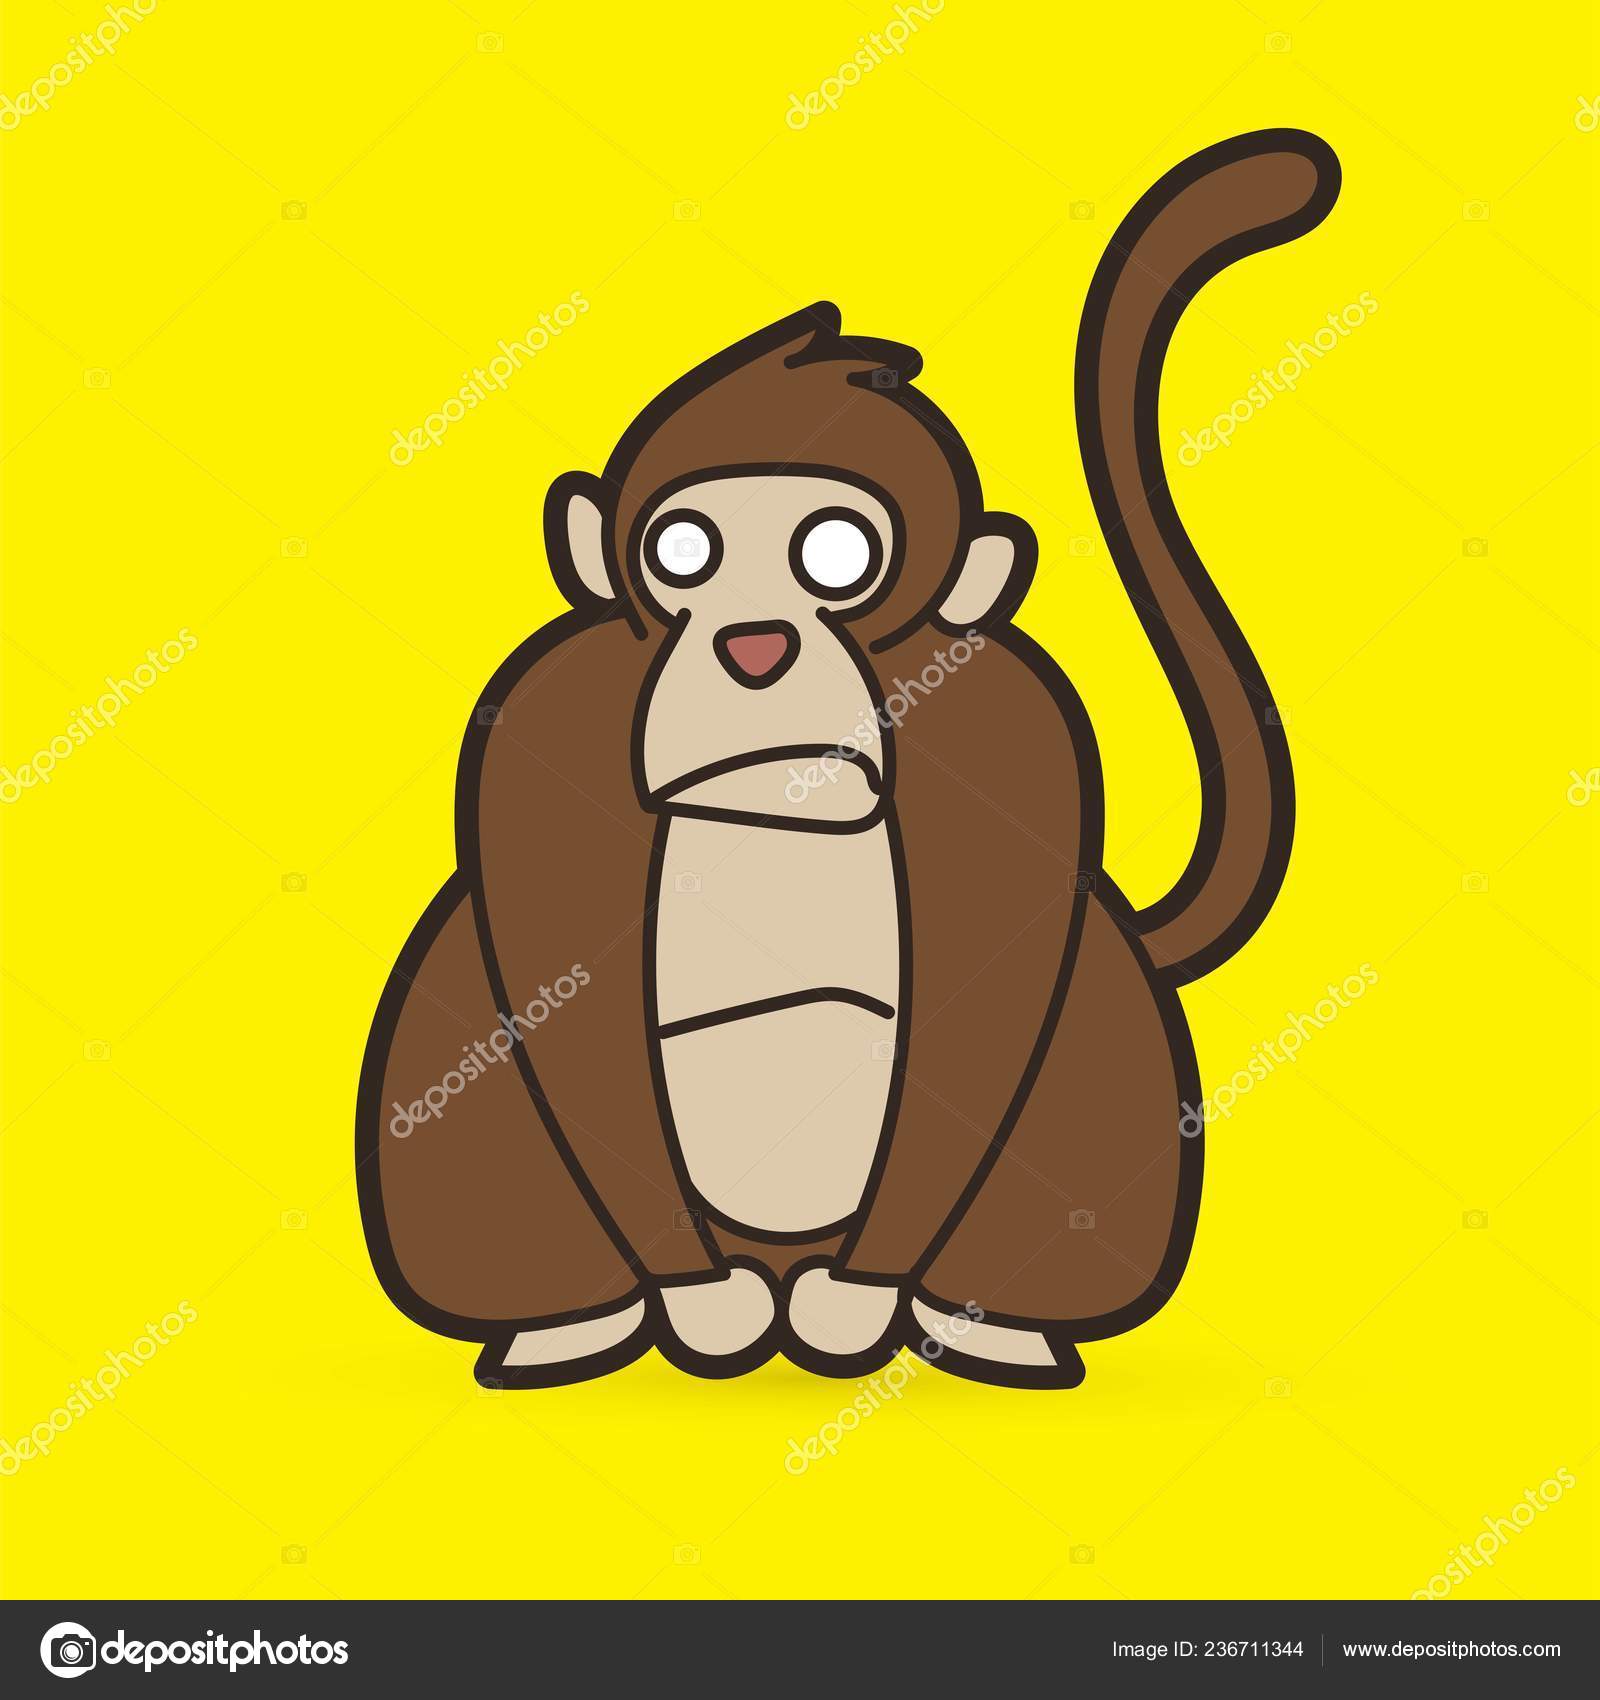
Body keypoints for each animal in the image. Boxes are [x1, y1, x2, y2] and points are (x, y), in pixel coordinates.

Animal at [357, 129, 1340, 1390]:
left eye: (837, 555)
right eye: (682, 549)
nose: (755, 644)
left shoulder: (1009, 730)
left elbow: (986, 1004)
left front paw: (857, 1303)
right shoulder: (541, 726)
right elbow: (558, 993)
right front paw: (702, 1304)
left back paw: (998, 1325)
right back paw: (564, 1322)